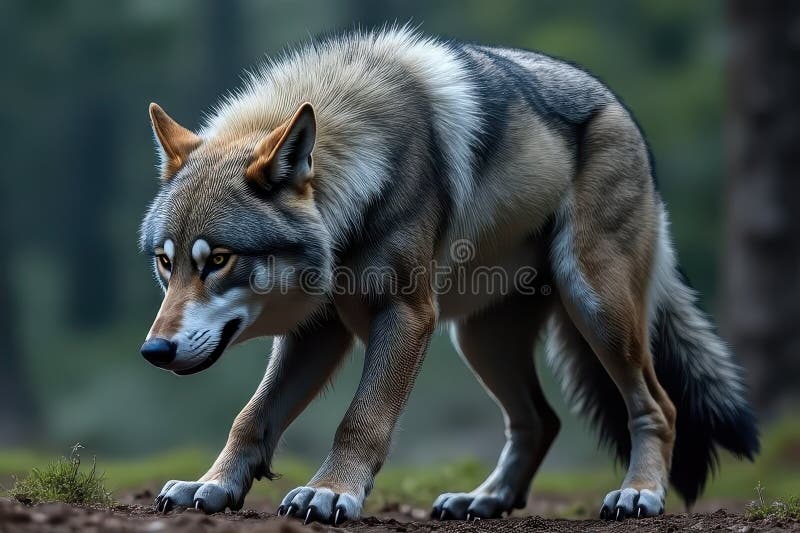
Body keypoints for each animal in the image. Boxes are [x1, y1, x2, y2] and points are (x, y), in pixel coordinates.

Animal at [139, 27, 758, 525]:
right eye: (167, 262)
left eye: (218, 259)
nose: (154, 351)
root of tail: (620, 108)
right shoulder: (317, 330)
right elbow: (251, 417)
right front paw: (212, 485)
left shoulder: (407, 315)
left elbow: (361, 419)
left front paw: (330, 492)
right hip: (481, 341)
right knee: (540, 421)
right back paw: (485, 500)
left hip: (595, 307)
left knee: (659, 406)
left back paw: (639, 494)